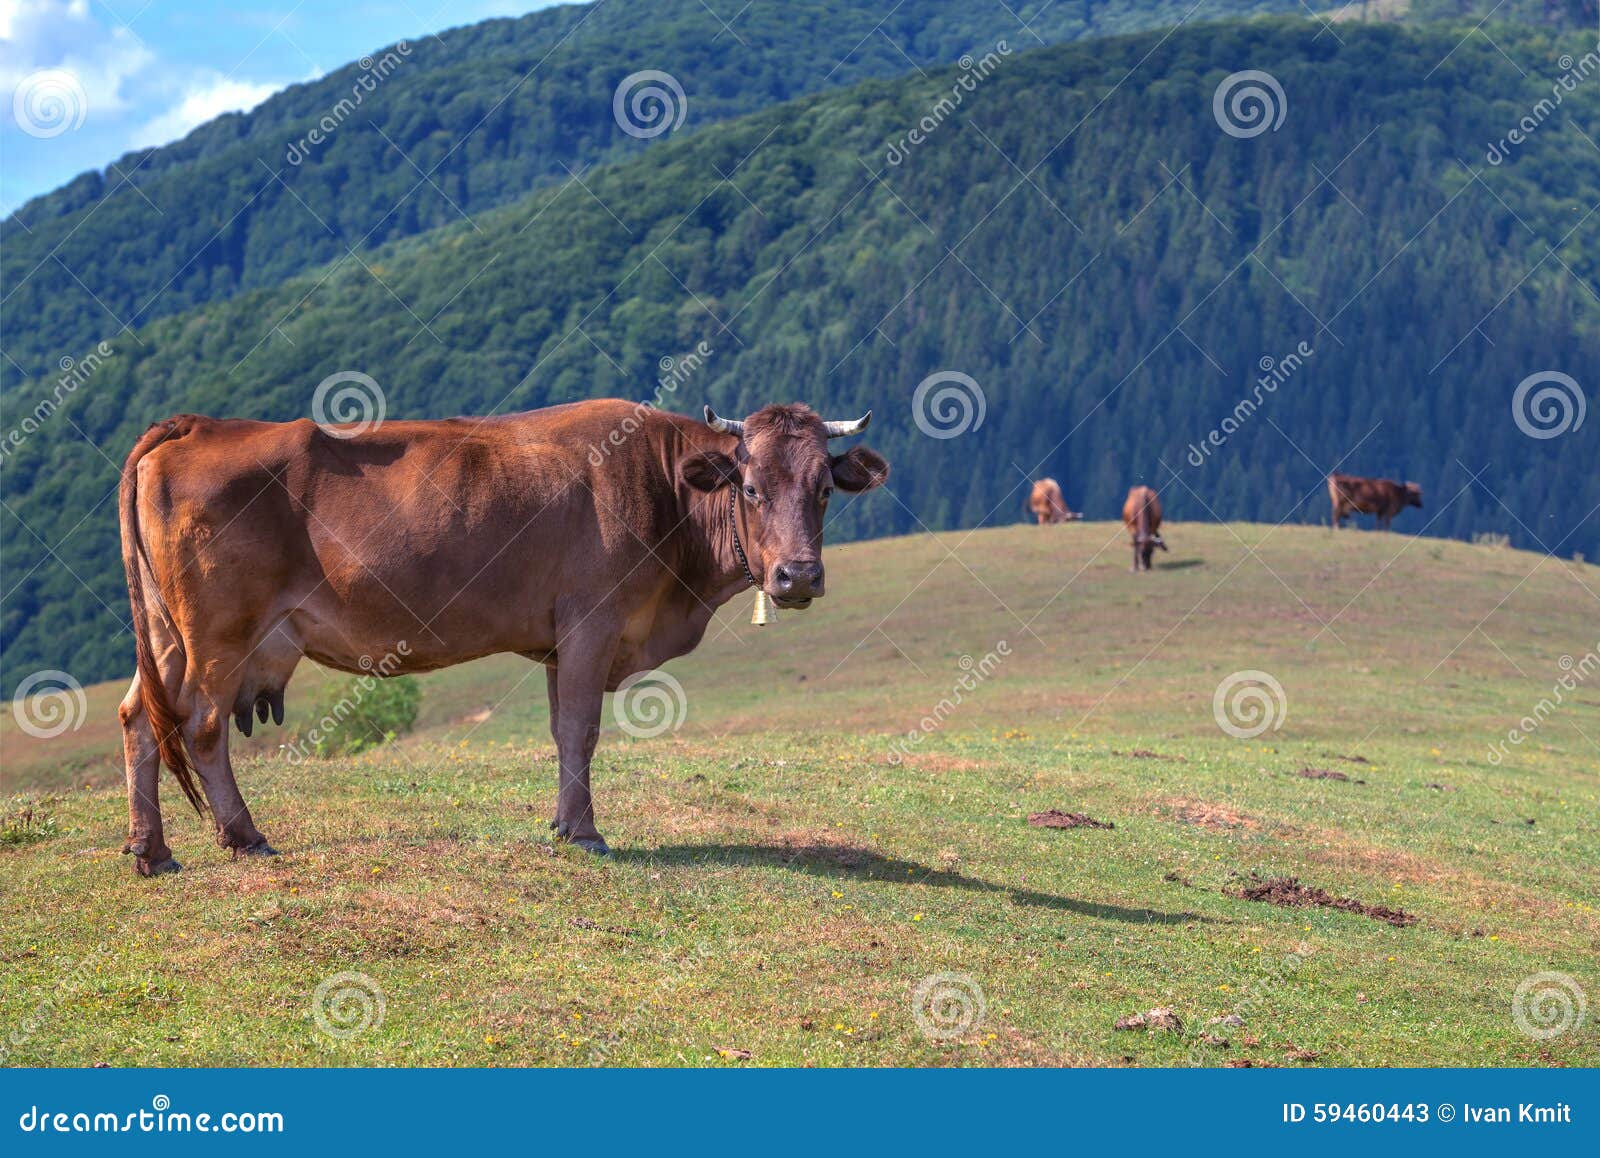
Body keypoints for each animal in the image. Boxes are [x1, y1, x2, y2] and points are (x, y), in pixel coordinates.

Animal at [116, 400, 888, 877]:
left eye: (823, 489)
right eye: (751, 488)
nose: (797, 575)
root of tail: (199, 425)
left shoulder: (558, 641)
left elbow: (559, 731)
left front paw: (560, 823)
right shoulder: (592, 622)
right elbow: (581, 729)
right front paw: (585, 834)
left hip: (168, 635)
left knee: (138, 719)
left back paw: (153, 851)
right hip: (219, 633)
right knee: (202, 724)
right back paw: (245, 837)